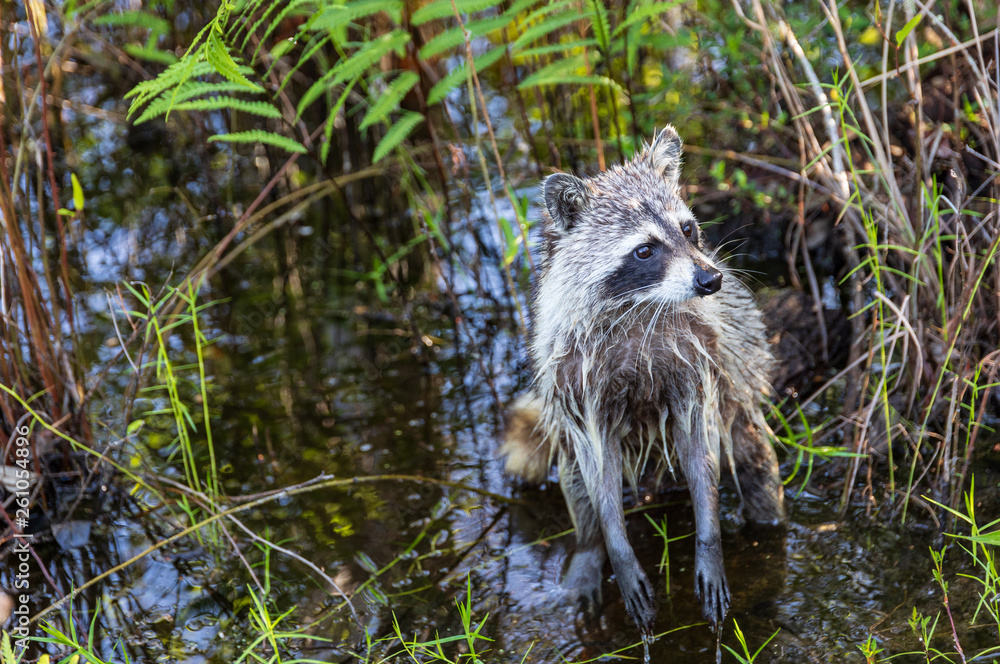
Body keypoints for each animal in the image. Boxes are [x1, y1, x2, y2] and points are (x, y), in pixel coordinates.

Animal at [501, 126, 784, 636]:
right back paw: (589, 549)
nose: (711, 280)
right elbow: (597, 467)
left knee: (754, 461)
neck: (638, 306)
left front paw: (709, 540)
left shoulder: (699, 356)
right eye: (645, 249)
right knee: (576, 481)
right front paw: (615, 549)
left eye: (687, 229)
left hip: (741, 393)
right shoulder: (573, 374)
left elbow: (700, 444)